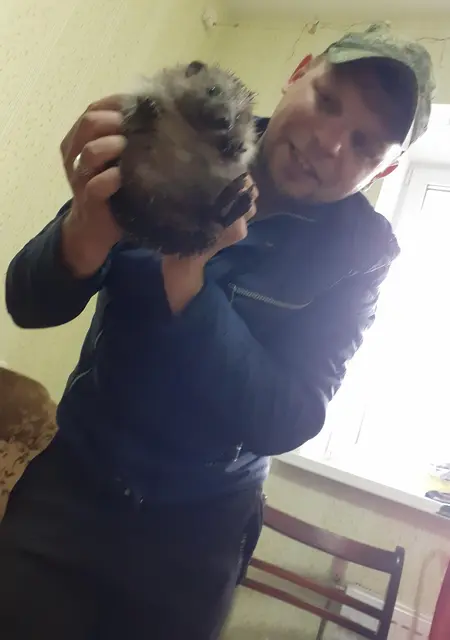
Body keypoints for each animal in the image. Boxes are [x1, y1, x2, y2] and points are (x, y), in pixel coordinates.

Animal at [109, 60, 257, 256]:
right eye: (213, 89)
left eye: (239, 115)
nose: (224, 120)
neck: (190, 128)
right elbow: (131, 119)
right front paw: (145, 109)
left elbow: (235, 158)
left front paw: (232, 145)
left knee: (210, 217)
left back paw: (236, 198)